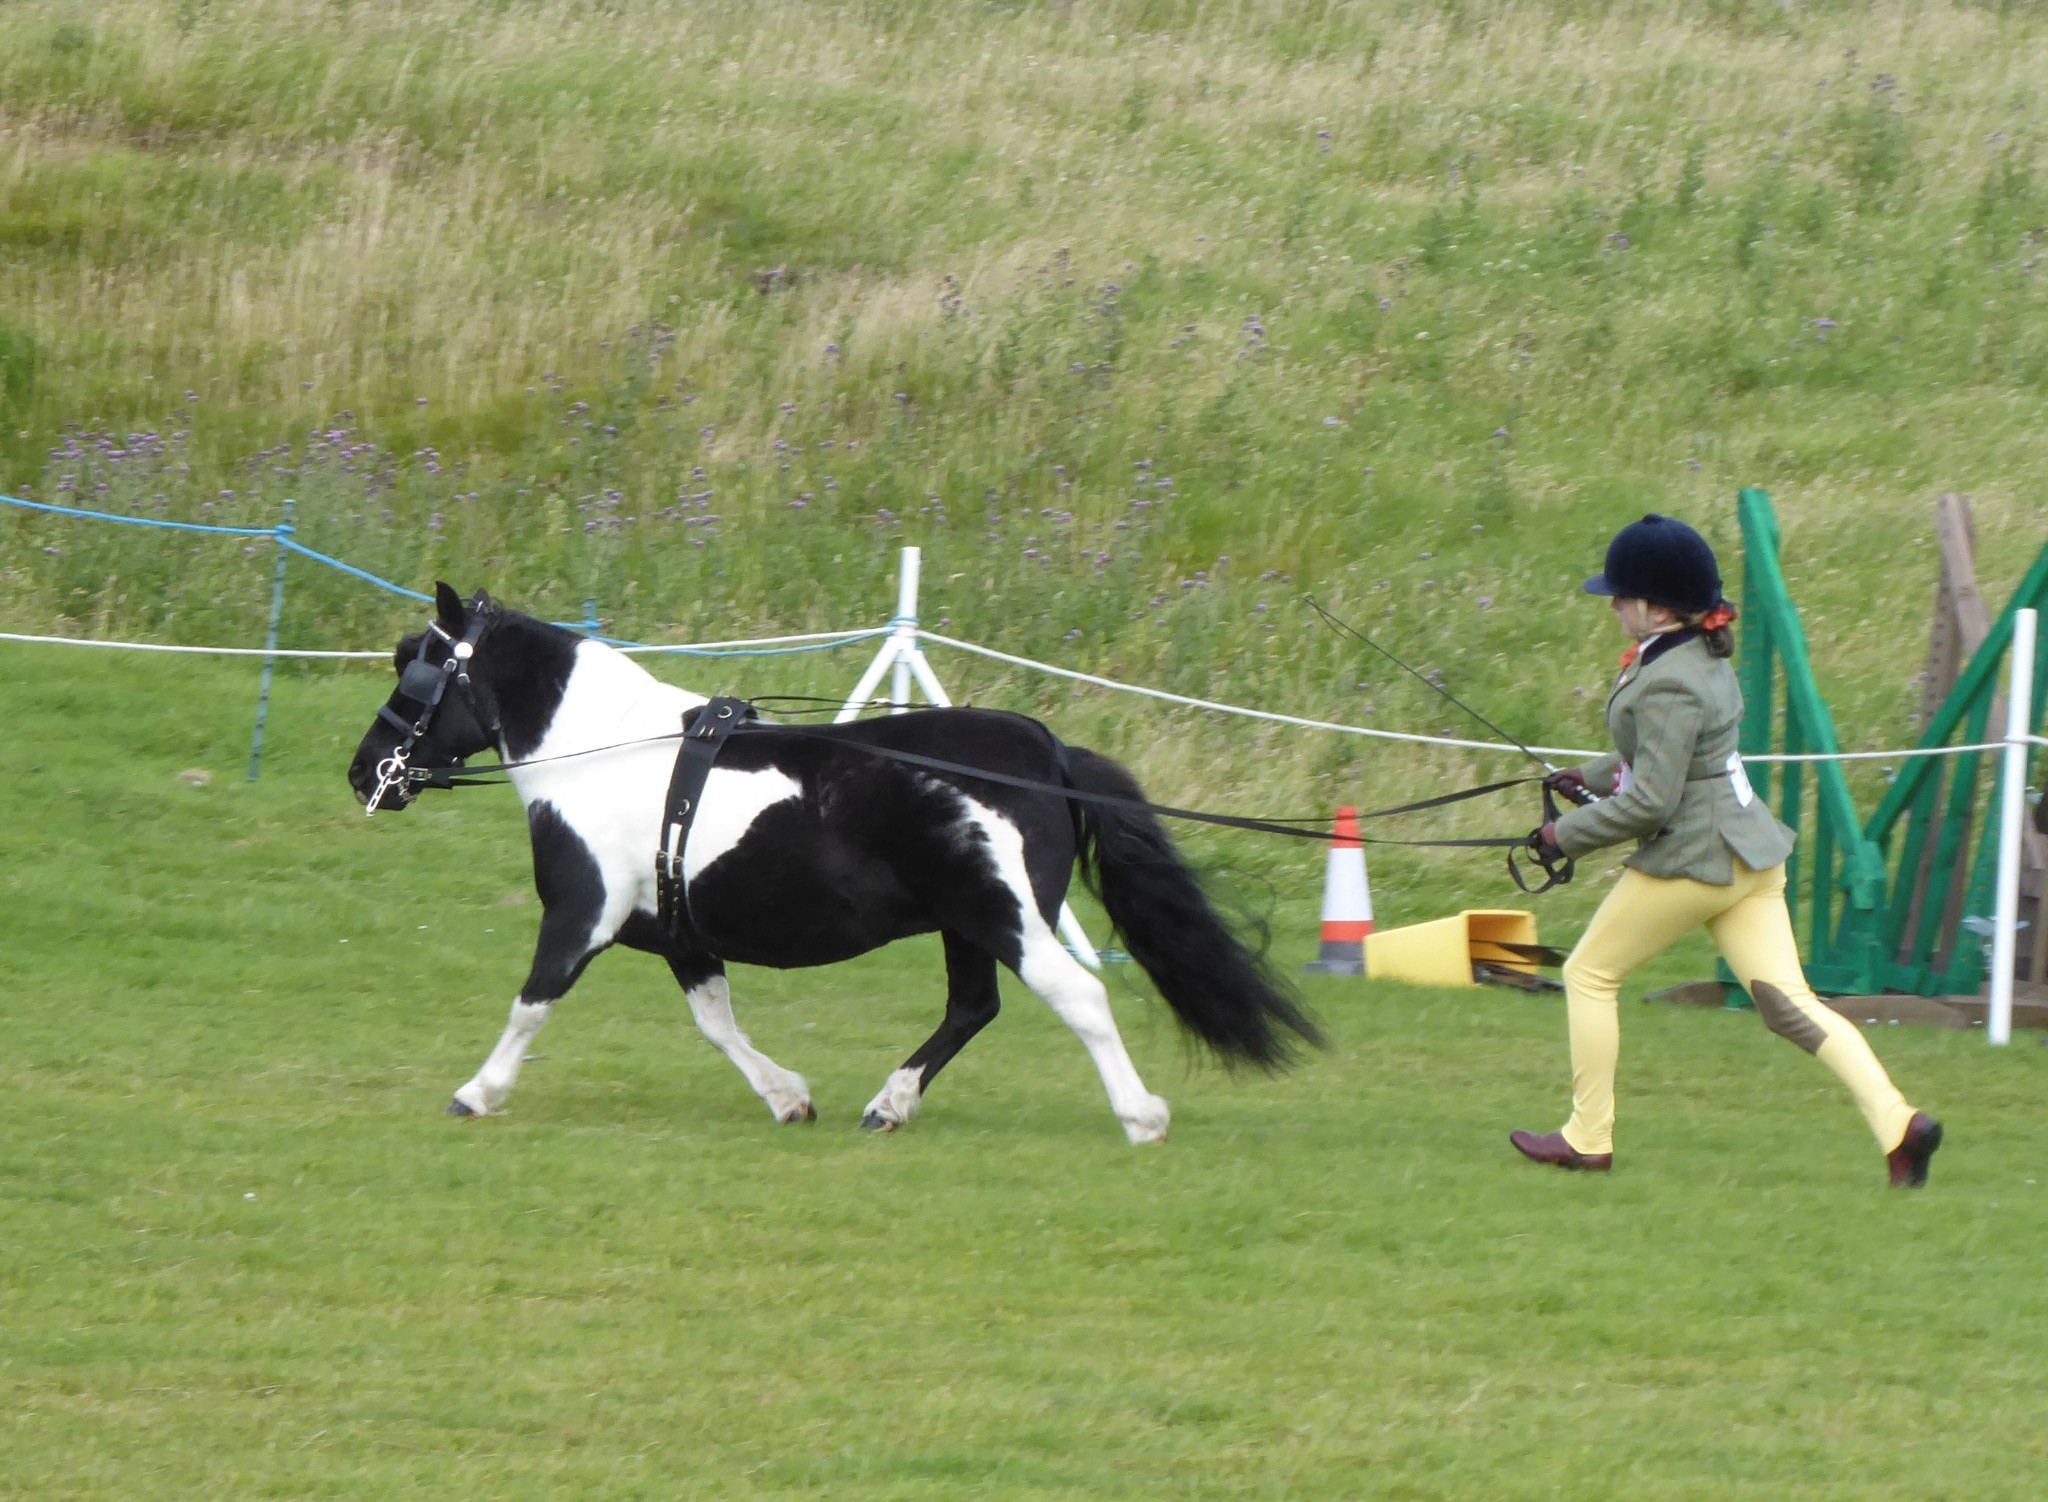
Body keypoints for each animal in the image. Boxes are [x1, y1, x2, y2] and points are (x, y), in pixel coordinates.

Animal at [346, 584, 1320, 1142]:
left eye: (419, 670)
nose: (365, 772)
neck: (601, 752)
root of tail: (1044, 751)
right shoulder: (679, 933)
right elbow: (718, 1024)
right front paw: (788, 1098)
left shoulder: (582, 915)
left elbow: (532, 1004)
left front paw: (478, 1093)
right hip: (966, 927)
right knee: (973, 1008)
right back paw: (890, 1104)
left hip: (1005, 917)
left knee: (1075, 996)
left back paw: (1140, 1116)